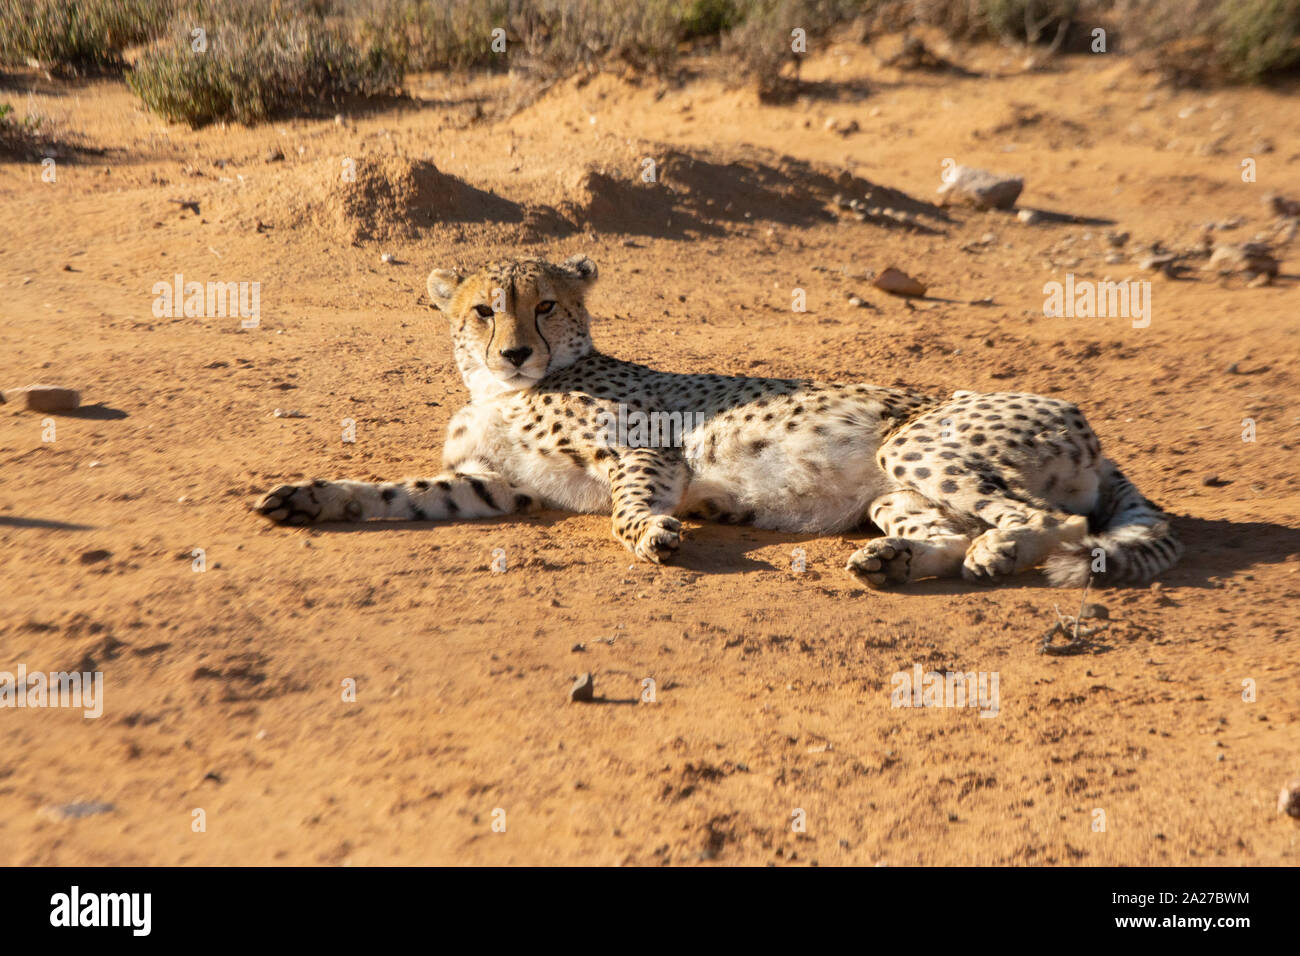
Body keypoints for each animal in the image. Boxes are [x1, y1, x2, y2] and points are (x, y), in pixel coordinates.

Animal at [255, 255, 1182, 588]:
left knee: (1050, 521)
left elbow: (628, 506)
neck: (502, 393)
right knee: (954, 527)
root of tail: (1083, 418)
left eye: (546, 305)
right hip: (894, 490)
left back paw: (993, 555)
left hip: (916, 444)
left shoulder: (646, 450)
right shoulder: (491, 491)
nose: (515, 352)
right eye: (484, 310)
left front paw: (653, 536)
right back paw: (896, 560)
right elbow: (391, 492)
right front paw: (309, 496)